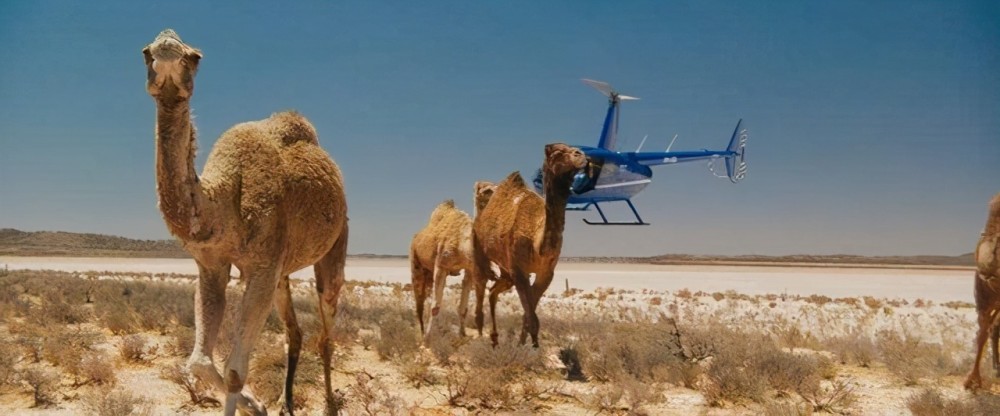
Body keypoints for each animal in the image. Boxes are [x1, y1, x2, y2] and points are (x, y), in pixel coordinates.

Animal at [142, 29, 348, 415]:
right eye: (146, 52)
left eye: (194, 57)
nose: (166, 47)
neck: (223, 204)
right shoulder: (212, 266)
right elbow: (199, 362)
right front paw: (257, 404)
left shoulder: (262, 268)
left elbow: (235, 369)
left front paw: (252, 401)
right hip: (283, 272)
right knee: (294, 333)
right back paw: (285, 402)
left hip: (336, 241)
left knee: (327, 327)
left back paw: (329, 403)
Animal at [410, 182, 495, 340]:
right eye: (486, 190)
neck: (462, 244)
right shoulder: (441, 265)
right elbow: (435, 306)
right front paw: (428, 340)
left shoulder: (470, 269)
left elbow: (463, 307)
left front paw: (462, 334)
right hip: (416, 263)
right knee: (419, 302)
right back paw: (422, 333)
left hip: (428, 272)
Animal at [470, 143, 587, 347]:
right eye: (557, 152)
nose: (581, 155)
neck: (536, 242)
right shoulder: (520, 272)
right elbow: (531, 317)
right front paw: (532, 348)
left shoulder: (545, 273)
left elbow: (529, 314)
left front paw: (523, 344)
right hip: (480, 254)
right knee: (480, 287)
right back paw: (481, 336)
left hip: (506, 271)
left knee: (493, 292)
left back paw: (495, 338)